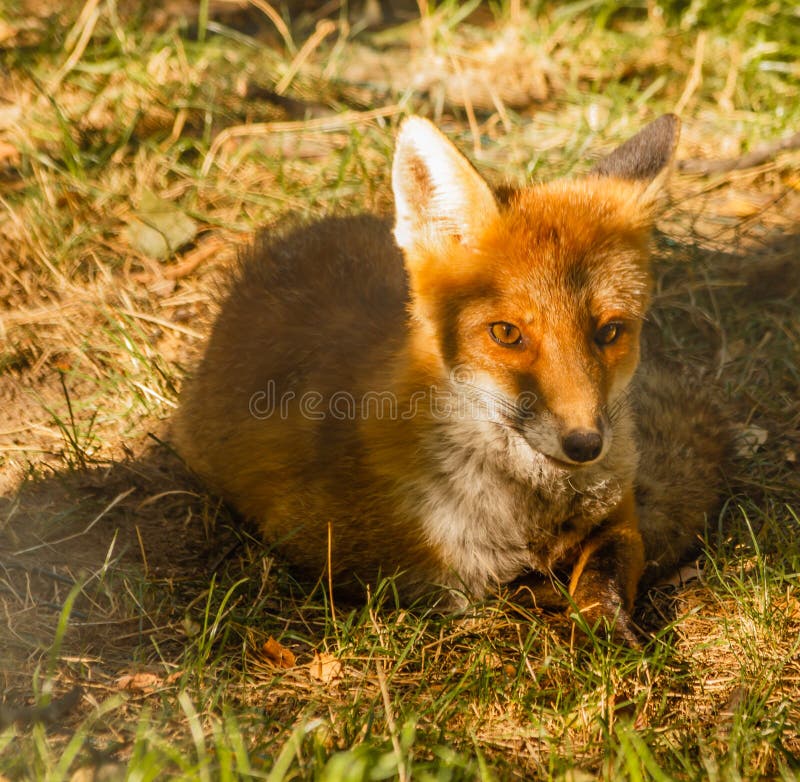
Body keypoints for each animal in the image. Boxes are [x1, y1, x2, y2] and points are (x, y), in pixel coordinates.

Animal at [173, 114, 729, 643]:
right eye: (506, 333)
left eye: (609, 330)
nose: (585, 444)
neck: (525, 513)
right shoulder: (326, 550)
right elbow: (501, 588)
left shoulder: (620, 517)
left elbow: (604, 573)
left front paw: (607, 627)